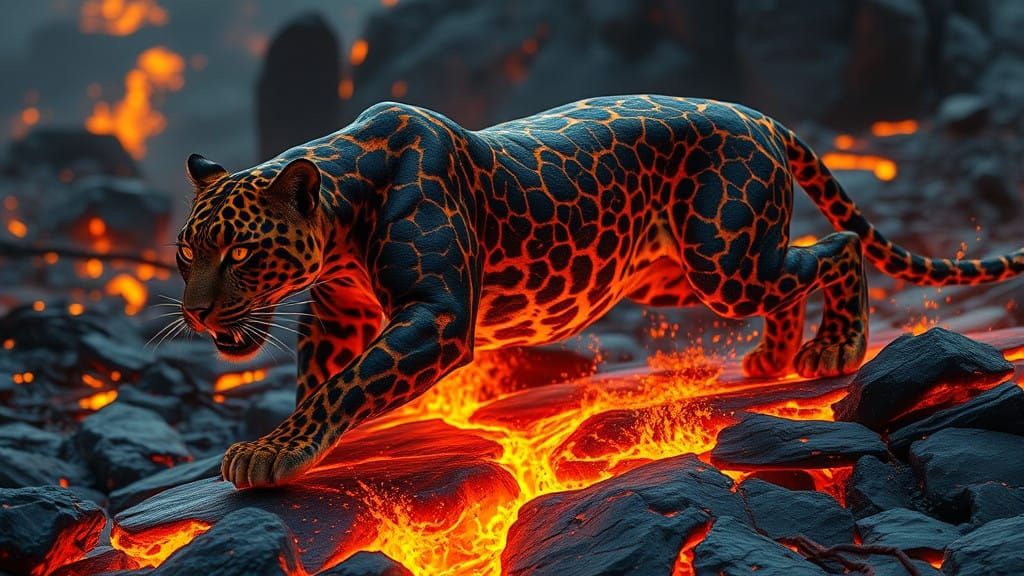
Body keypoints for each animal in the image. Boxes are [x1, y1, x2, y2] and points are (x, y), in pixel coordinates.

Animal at [174, 95, 1024, 488]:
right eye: (187, 252)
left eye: (242, 252)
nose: (196, 312)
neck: (341, 214)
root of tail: (759, 114)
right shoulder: (337, 313)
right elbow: (323, 382)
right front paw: (302, 442)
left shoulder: (438, 318)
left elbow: (342, 386)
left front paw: (272, 452)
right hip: (677, 273)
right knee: (792, 274)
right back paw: (775, 360)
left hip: (722, 258)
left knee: (838, 248)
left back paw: (835, 345)